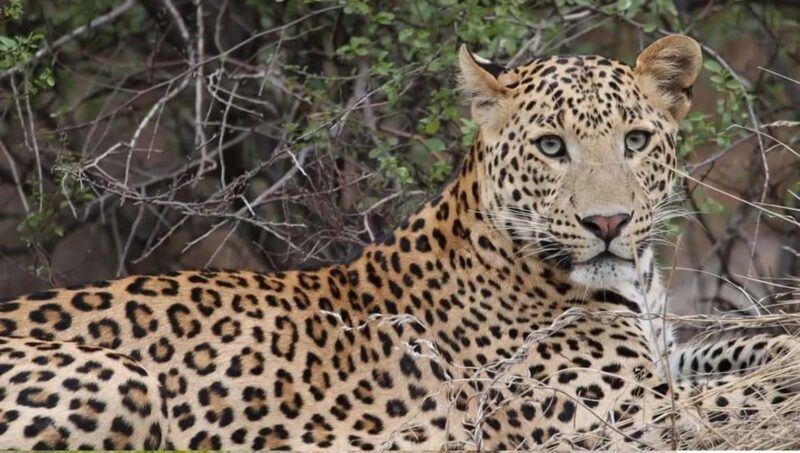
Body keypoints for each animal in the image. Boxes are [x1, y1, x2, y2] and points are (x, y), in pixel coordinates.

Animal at [1, 34, 799, 450]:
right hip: (122, 378)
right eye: (551, 146)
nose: (607, 223)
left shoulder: (667, 357)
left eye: (635, 140)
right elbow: (748, 393)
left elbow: (748, 348)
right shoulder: (622, 419)